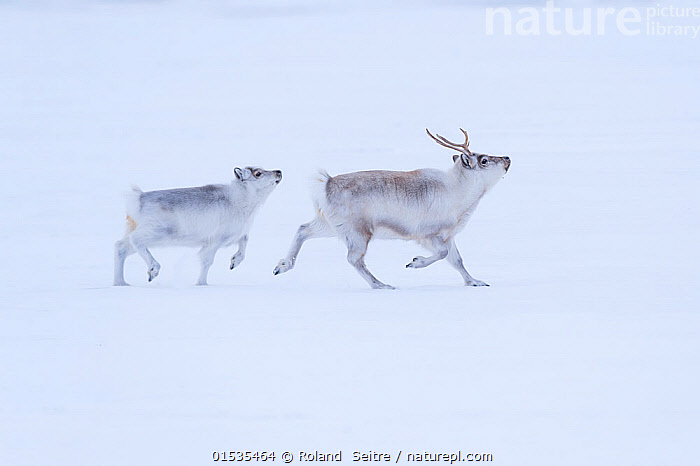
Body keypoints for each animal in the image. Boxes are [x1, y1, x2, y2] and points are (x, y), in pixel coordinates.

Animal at [114, 167, 282, 286]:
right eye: (258, 173)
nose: (278, 172)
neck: (240, 200)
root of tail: (139, 198)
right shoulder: (215, 241)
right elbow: (206, 261)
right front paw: (202, 284)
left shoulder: (236, 234)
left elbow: (244, 243)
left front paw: (234, 262)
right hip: (160, 232)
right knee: (135, 240)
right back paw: (153, 270)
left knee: (120, 246)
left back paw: (121, 283)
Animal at [272, 129, 510, 289]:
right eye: (484, 160)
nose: (507, 158)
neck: (460, 190)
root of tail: (326, 183)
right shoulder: (428, 234)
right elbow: (442, 254)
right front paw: (415, 262)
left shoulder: (448, 236)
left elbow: (458, 260)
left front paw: (475, 281)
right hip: (358, 232)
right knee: (354, 259)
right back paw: (381, 285)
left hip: (329, 225)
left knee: (303, 229)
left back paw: (282, 266)